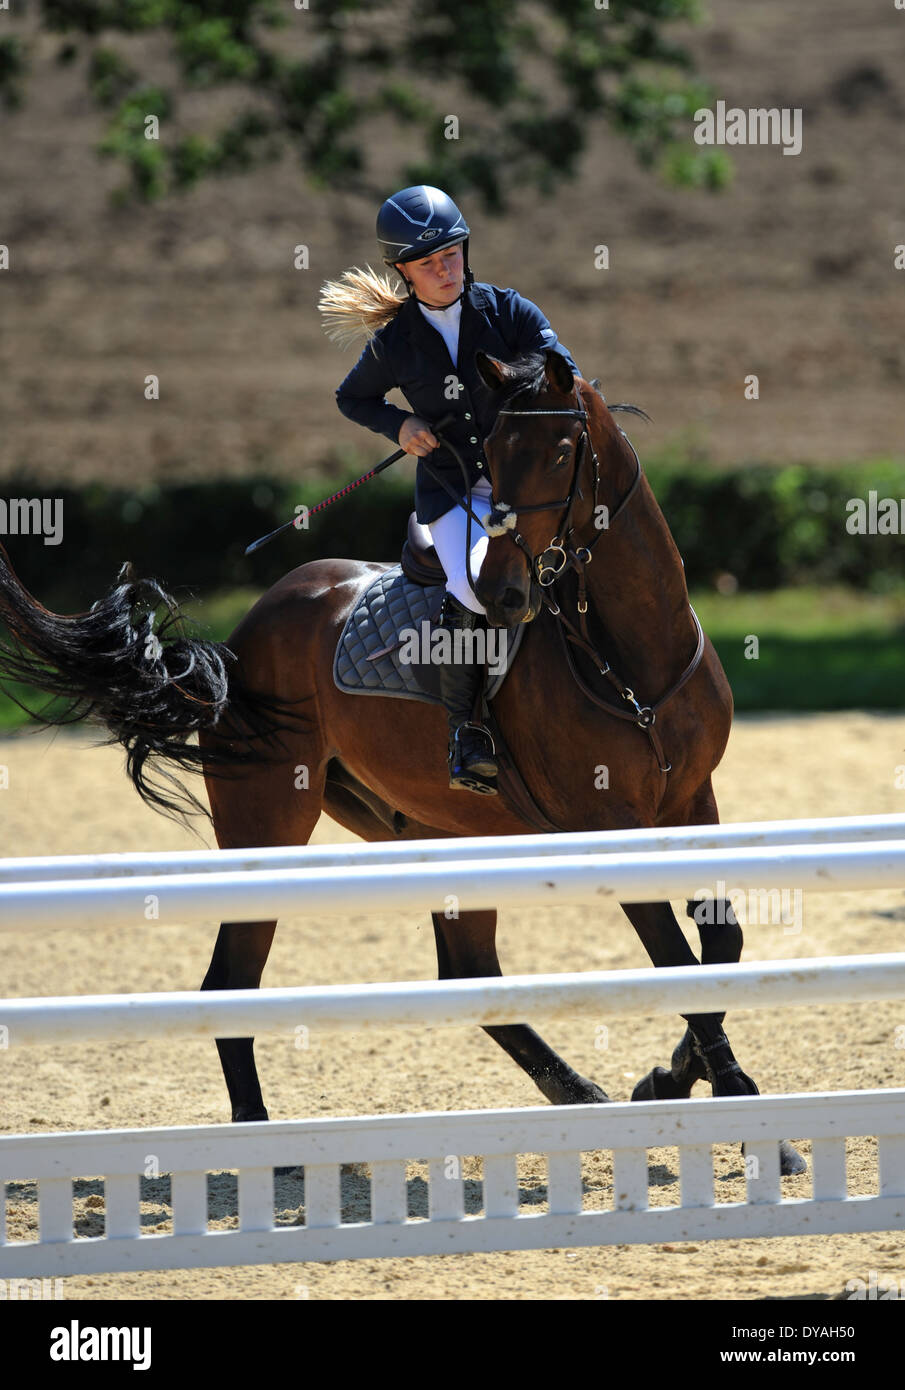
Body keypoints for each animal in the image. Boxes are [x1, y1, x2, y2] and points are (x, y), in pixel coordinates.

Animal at [0, 346, 805, 1175]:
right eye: (492, 455)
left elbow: (718, 945)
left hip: (446, 832)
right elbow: (675, 957)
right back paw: (261, 1136)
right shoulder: (605, 823)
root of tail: (249, 626)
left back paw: (579, 1092)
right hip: (266, 823)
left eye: (558, 453)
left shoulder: (690, 802)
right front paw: (743, 1112)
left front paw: (672, 1080)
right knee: (231, 981)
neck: (632, 656)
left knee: (468, 972)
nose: (502, 592)